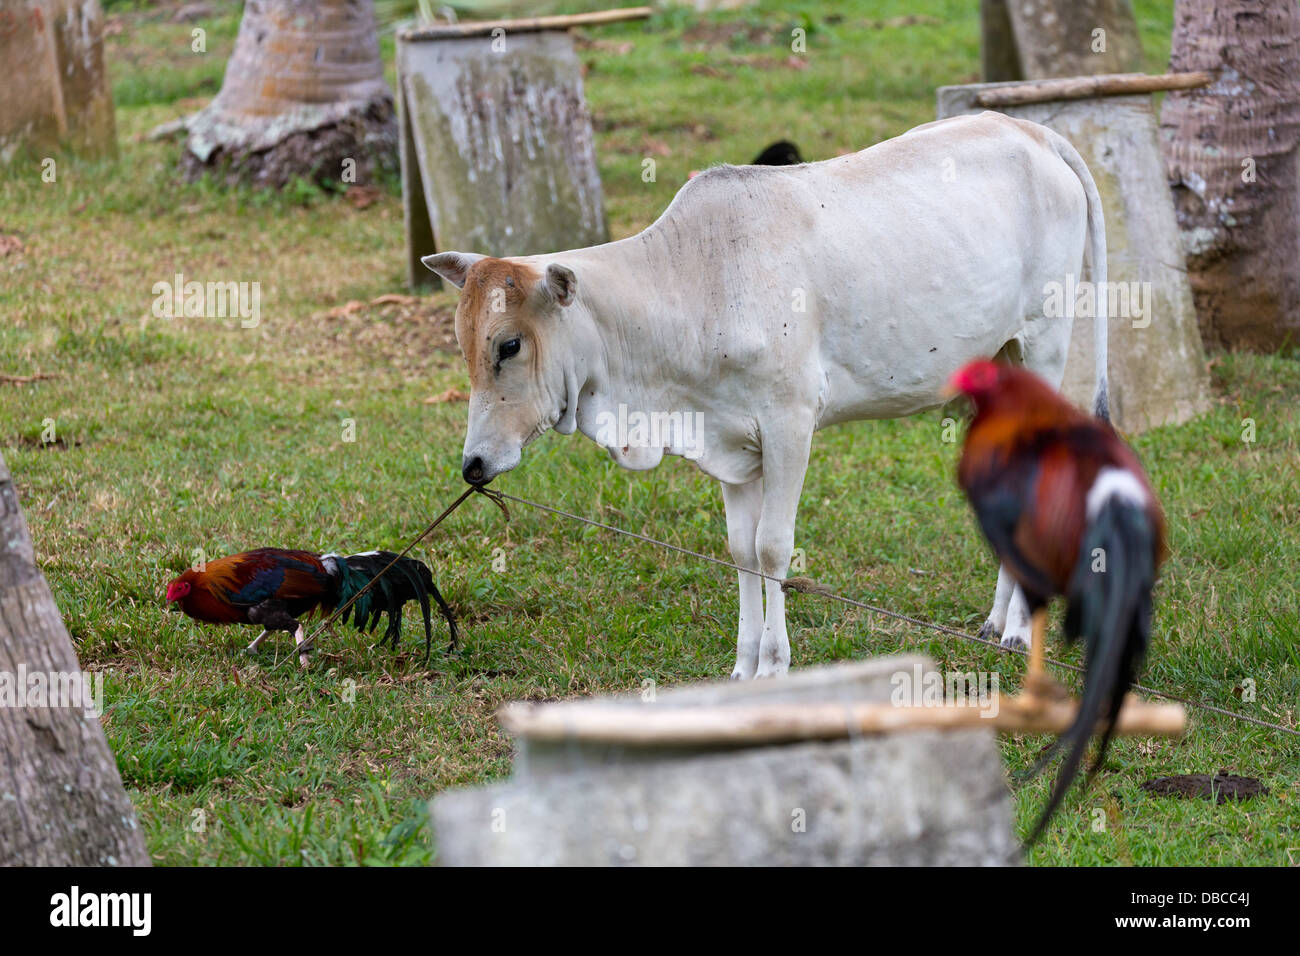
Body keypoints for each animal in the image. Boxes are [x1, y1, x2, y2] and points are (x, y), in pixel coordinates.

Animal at [423, 111, 1109, 680]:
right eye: (464, 344)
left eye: (510, 345)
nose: (474, 464)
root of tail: (1031, 131)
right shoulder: (730, 441)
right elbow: (741, 550)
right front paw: (745, 665)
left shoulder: (789, 424)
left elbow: (774, 547)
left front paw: (776, 665)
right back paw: (996, 622)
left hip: (1045, 345)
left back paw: (1018, 630)